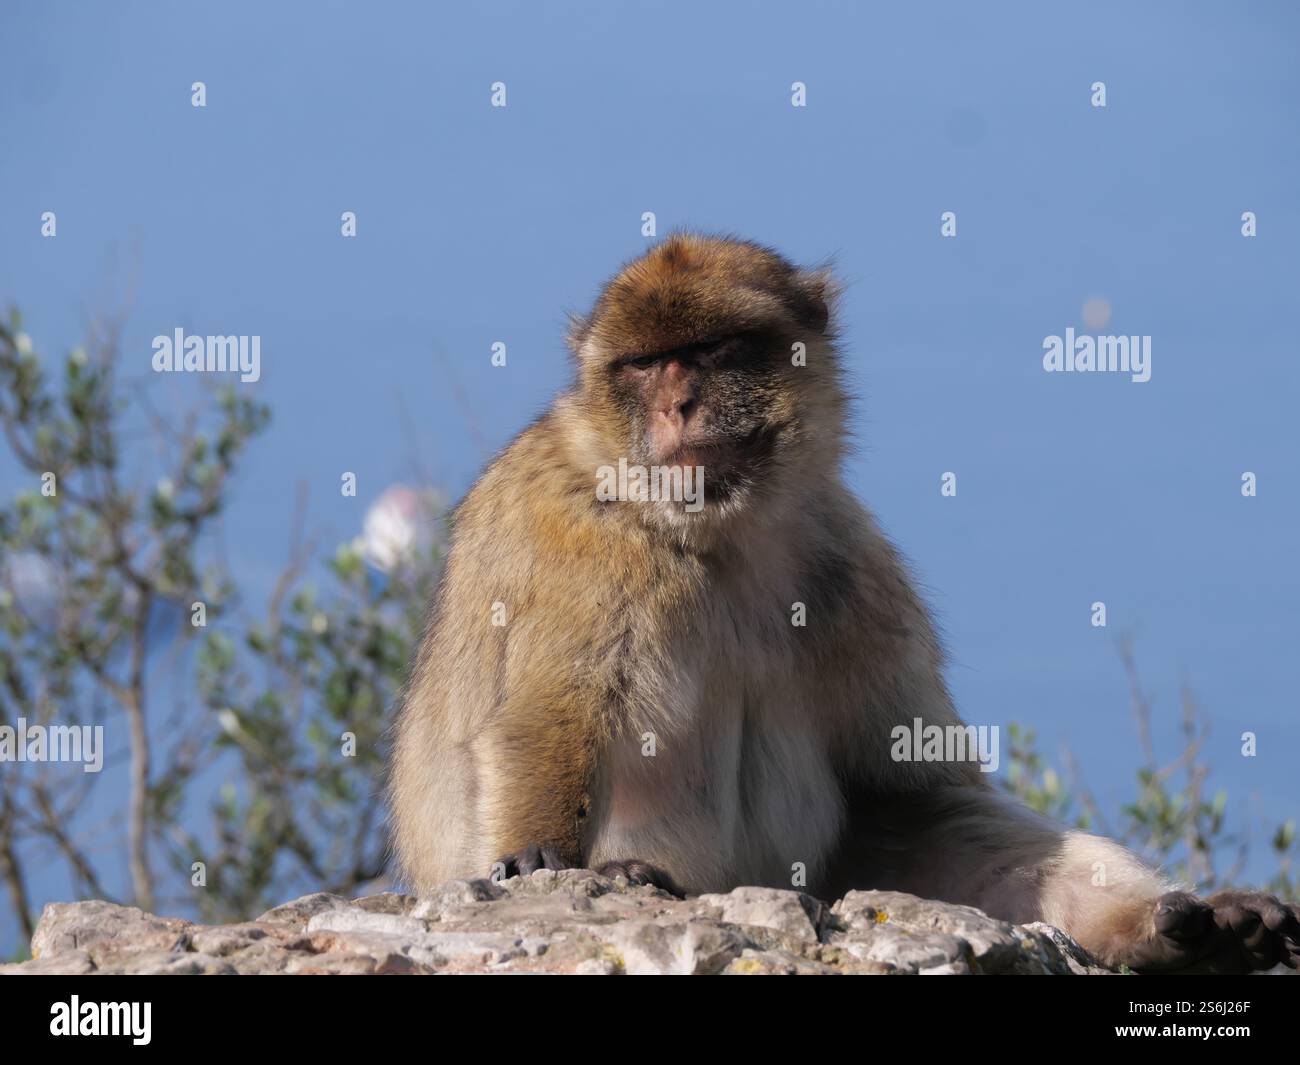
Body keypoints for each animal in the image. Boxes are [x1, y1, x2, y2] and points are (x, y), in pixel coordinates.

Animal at [389, 232, 1299, 973]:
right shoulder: (583, 548)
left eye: (713, 349)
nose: (677, 404)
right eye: (644, 366)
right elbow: (550, 718)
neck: (721, 531)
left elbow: (905, 793)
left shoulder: (853, 560)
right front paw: (544, 861)